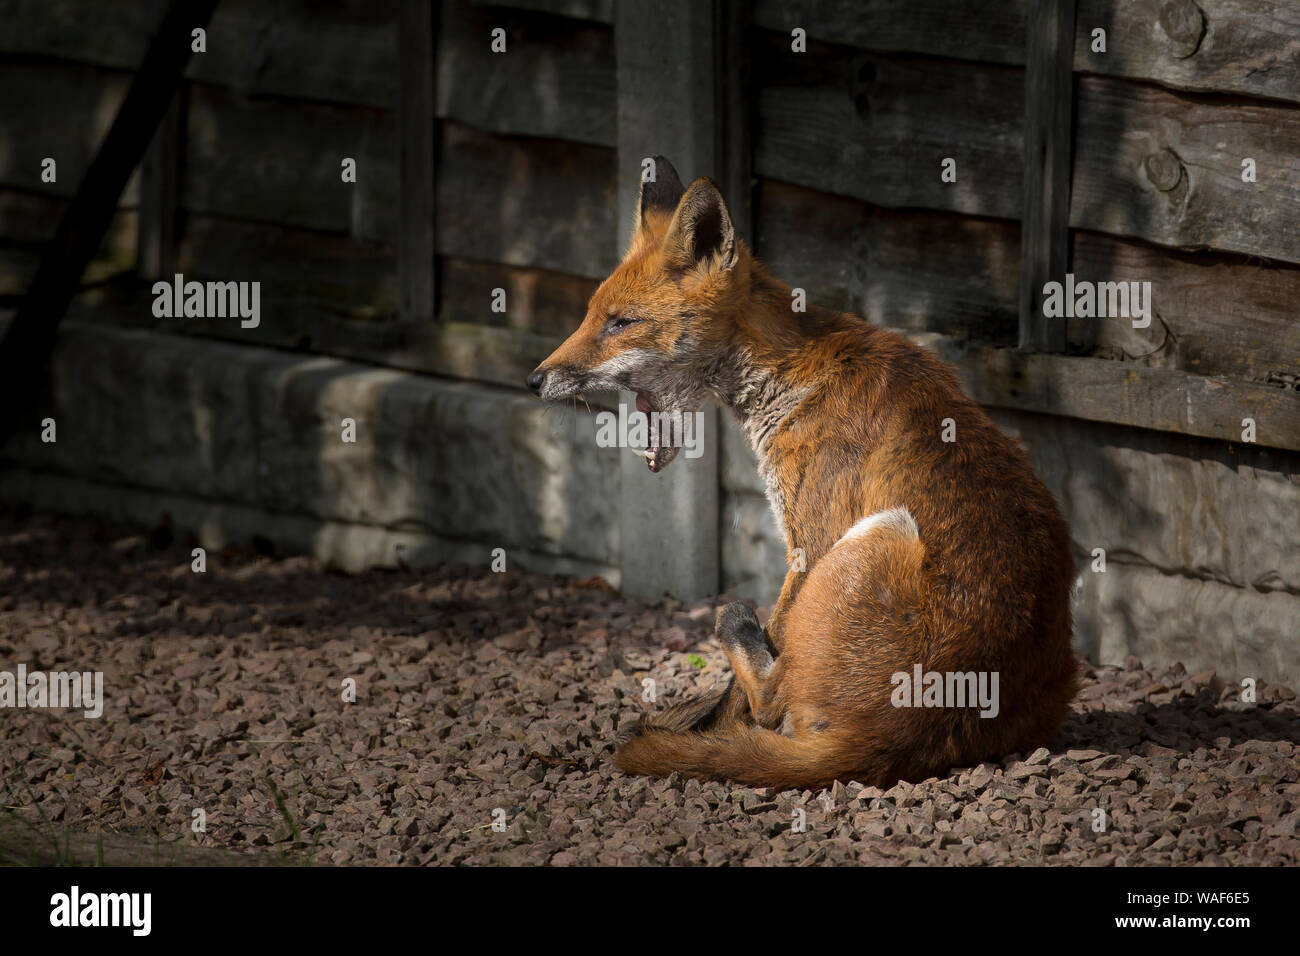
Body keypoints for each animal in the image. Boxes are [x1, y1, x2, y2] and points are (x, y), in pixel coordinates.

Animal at [526, 156, 1078, 791]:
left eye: (620, 323)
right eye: (591, 315)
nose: (533, 380)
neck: (790, 378)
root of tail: (892, 746)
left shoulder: (809, 540)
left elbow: (754, 680)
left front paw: (709, 725)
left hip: (880, 534)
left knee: (771, 694)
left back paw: (734, 639)